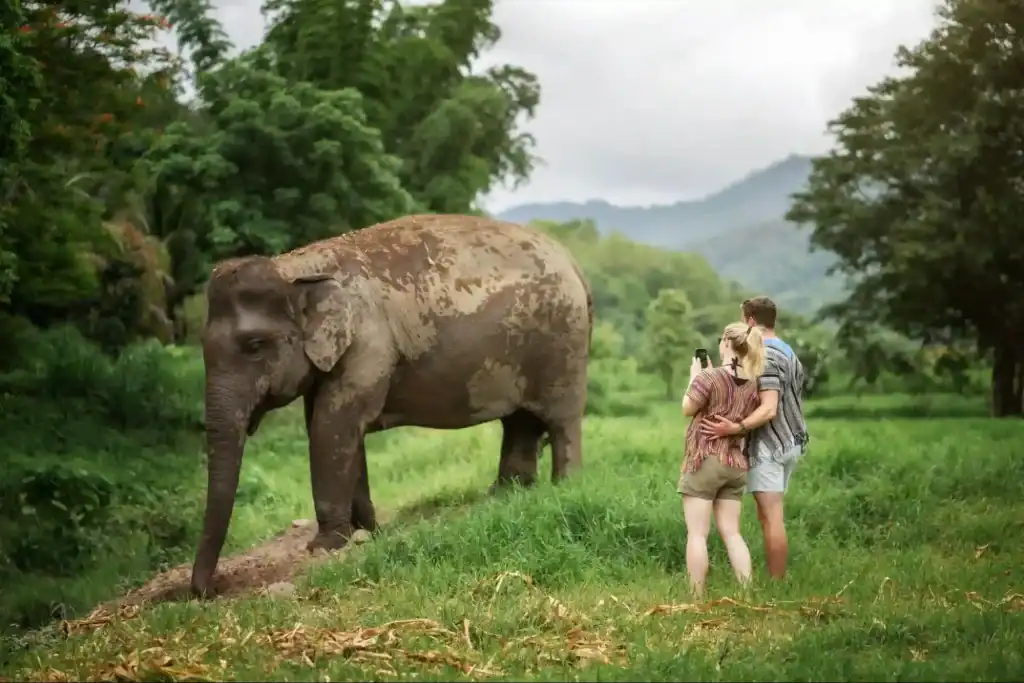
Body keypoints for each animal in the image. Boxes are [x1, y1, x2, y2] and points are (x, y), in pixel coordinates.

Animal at [191, 213, 593, 597]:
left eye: (254, 345)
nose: (207, 590)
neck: (294, 268)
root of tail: (575, 264)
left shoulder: (368, 345)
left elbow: (331, 425)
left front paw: (326, 545)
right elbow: (336, 428)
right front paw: (368, 531)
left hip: (564, 345)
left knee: (561, 422)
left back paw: (564, 487)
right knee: (520, 422)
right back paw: (507, 494)